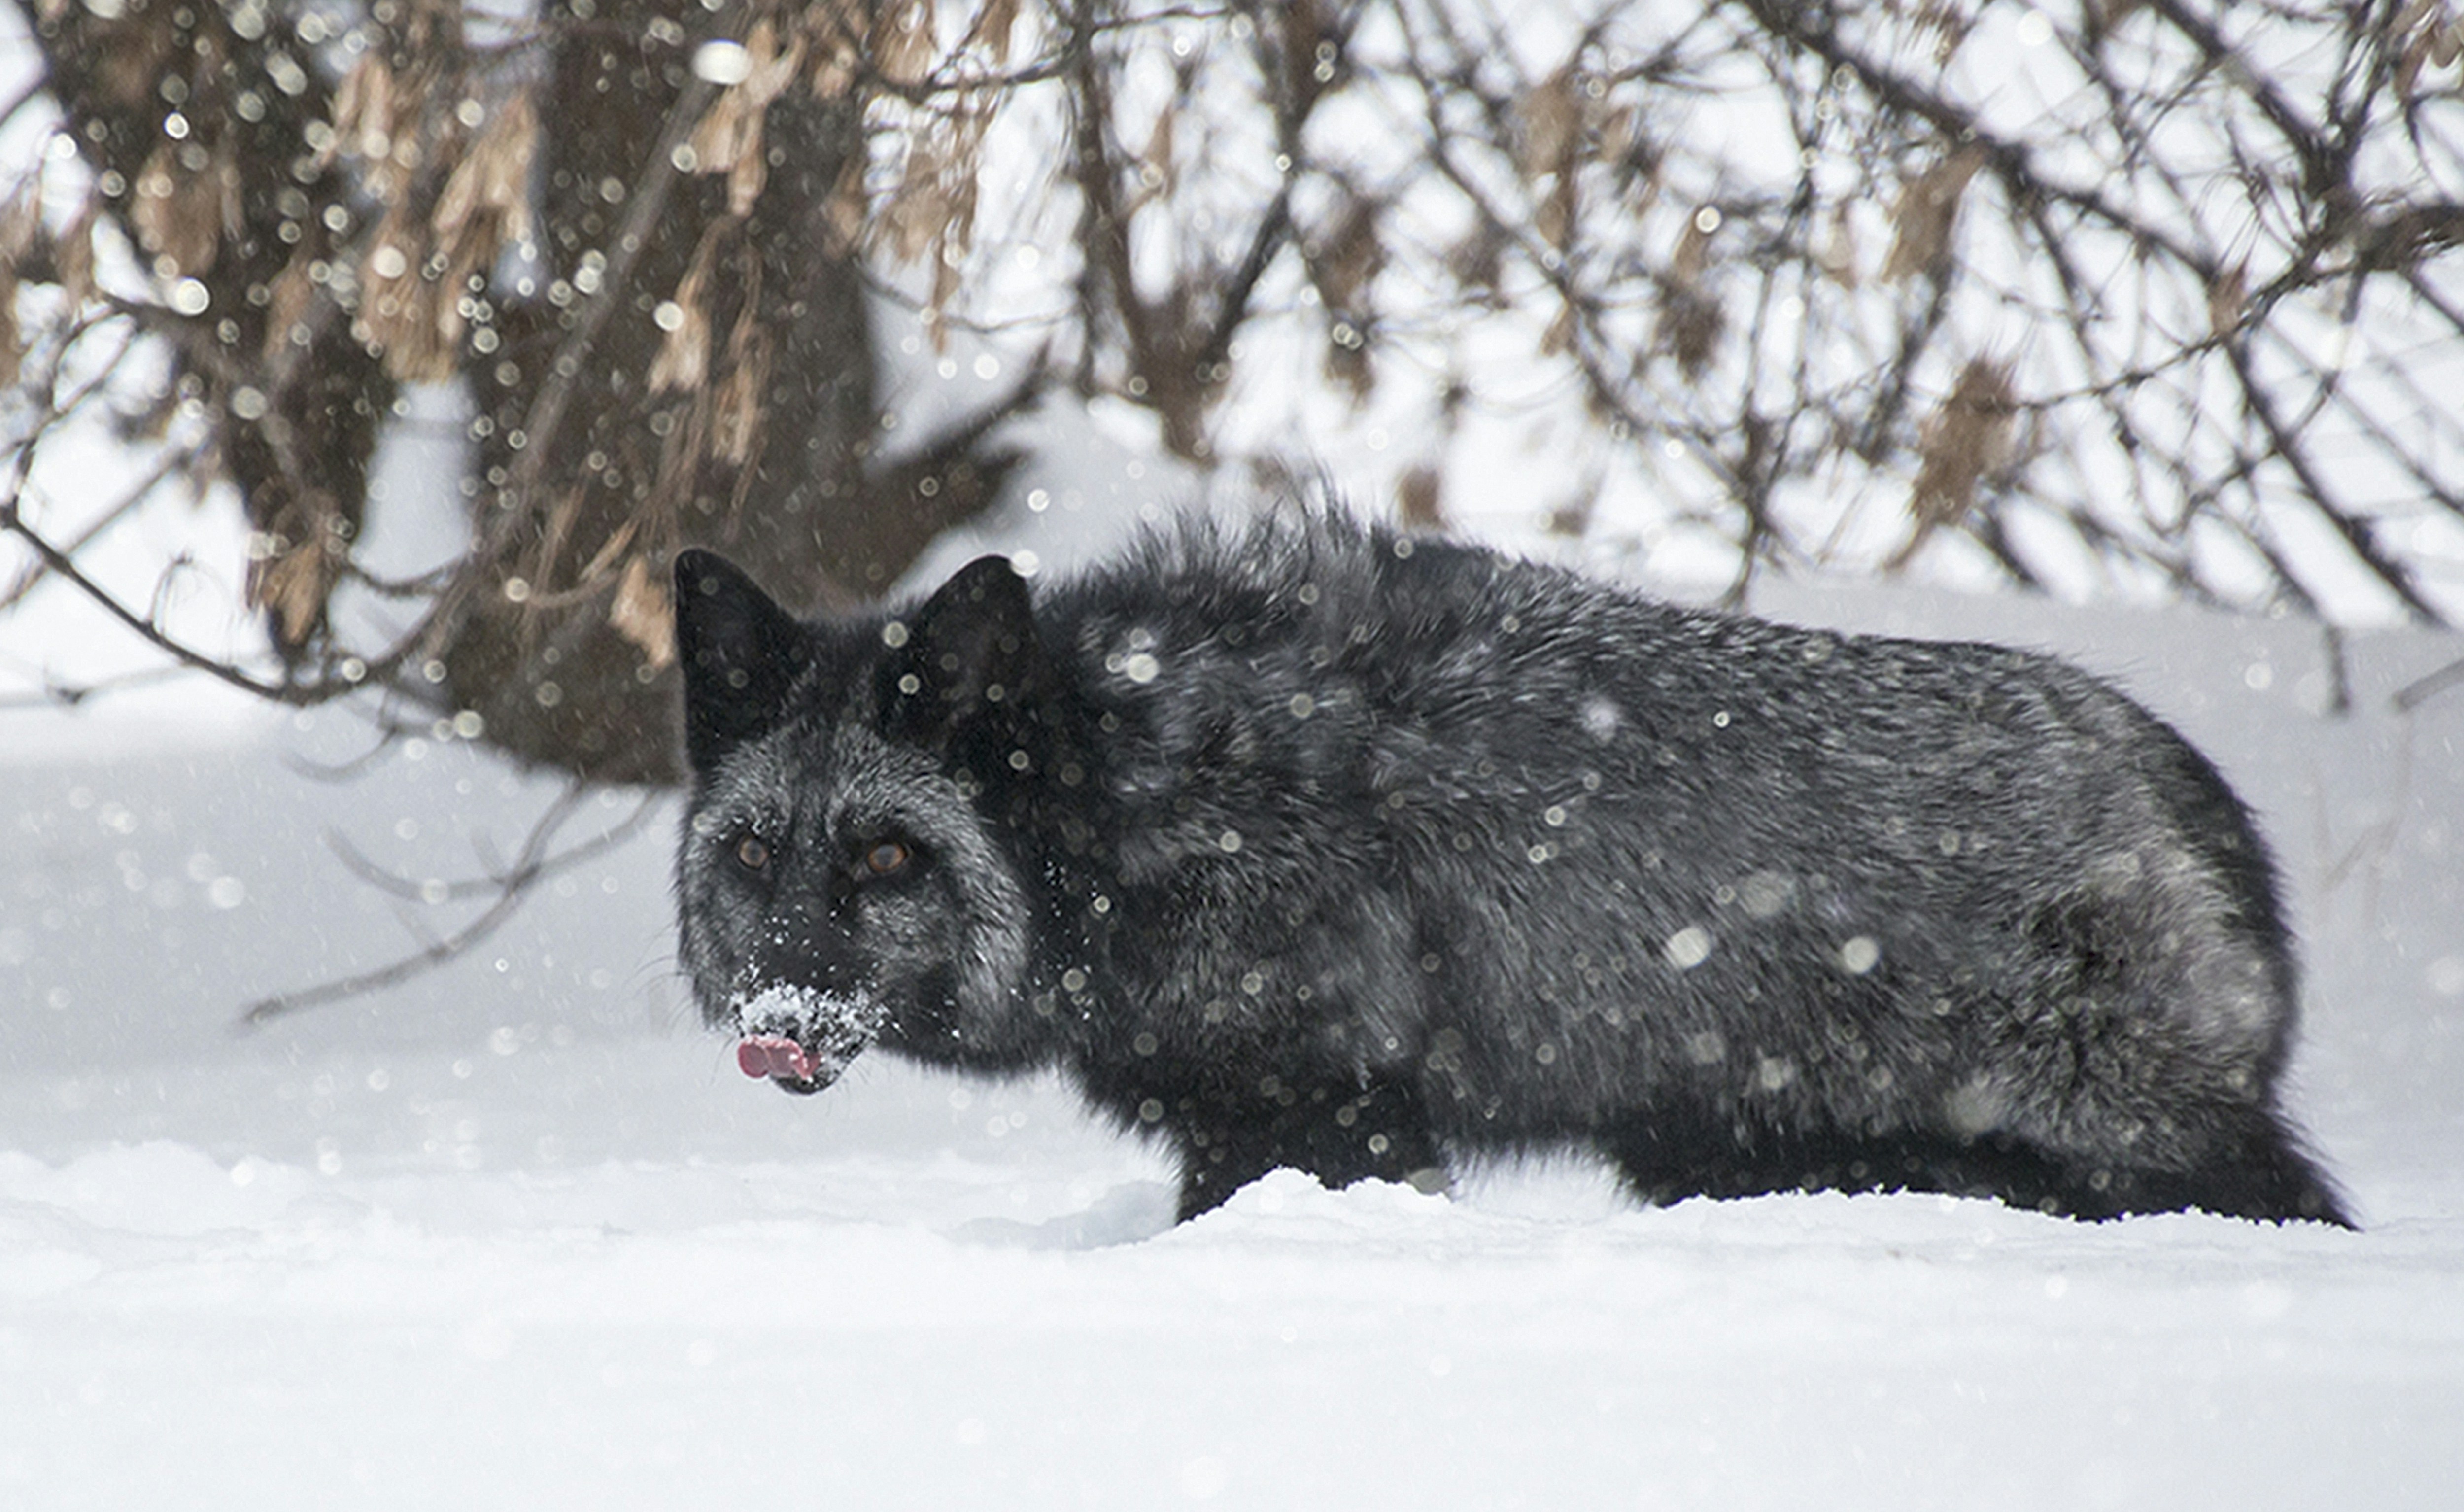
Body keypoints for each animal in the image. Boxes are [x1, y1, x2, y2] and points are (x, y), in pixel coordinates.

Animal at [671, 509, 2349, 1225]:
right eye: (752, 849)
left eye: (888, 851)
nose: (776, 1010)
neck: (1137, 797)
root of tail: (2191, 787)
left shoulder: (1322, 1111)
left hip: (2123, 1148)